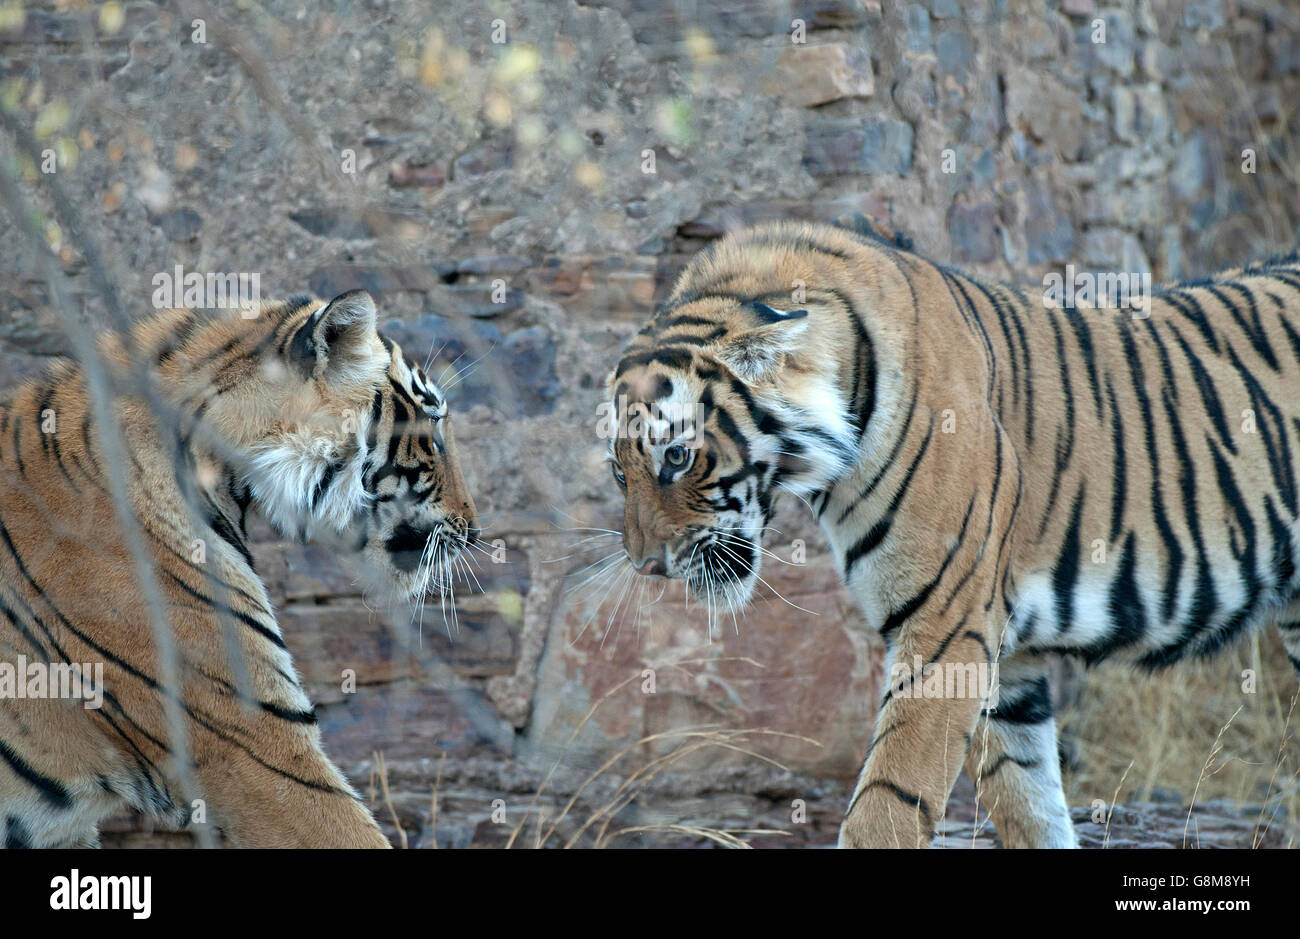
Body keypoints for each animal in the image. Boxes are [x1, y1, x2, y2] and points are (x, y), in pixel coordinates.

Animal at [606, 218, 1300, 848]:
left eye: (676, 456)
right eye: (619, 470)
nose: (646, 566)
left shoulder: (947, 626)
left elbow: (889, 802)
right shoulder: (1009, 664)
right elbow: (1030, 805)